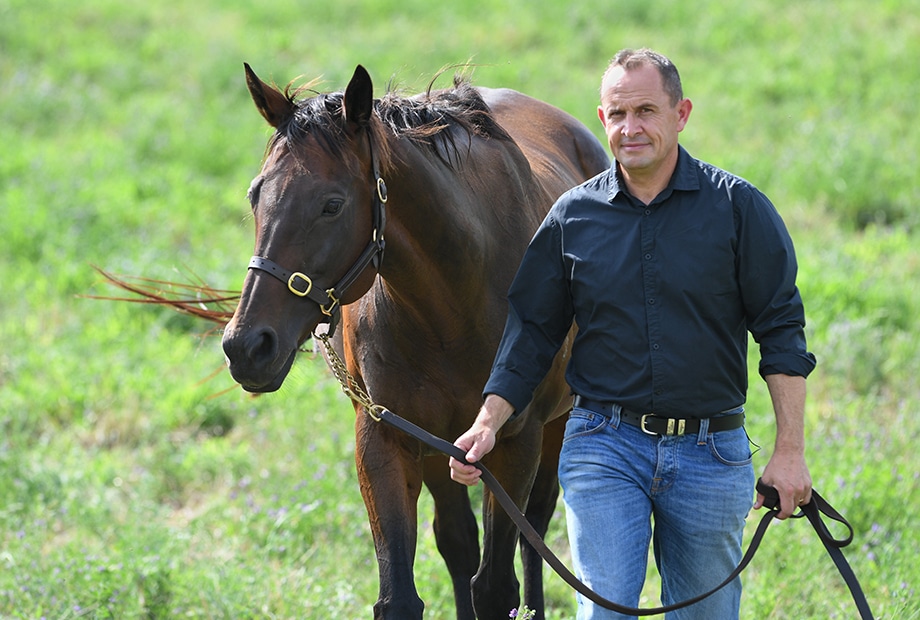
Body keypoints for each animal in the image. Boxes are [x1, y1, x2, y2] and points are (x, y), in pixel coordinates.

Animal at [220, 63, 610, 619]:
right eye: (256, 194)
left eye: (332, 205)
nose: (248, 347)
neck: (457, 302)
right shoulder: (387, 436)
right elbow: (401, 594)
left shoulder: (516, 440)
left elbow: (497, 584)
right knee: (458, 540)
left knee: (534, 525)